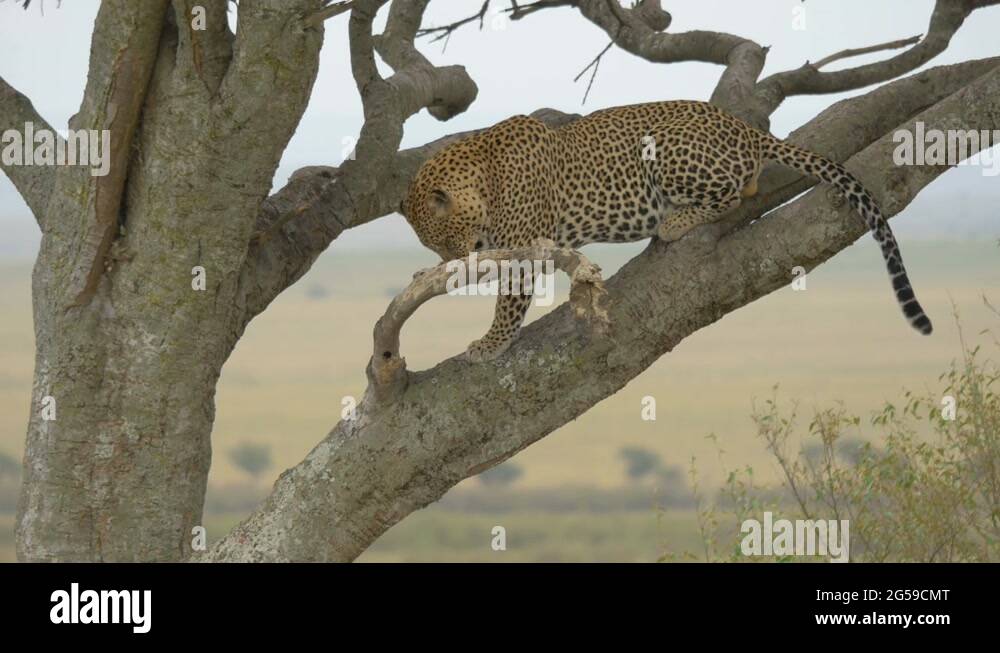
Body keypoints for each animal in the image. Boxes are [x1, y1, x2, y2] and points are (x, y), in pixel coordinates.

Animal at [399, 100, 932, 362]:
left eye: (445, 241)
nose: (452, 265)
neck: (485, 176)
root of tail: (746, 128)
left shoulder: (525, 250)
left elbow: (509, 304)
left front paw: (489, 346)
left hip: (667, 146)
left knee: (734, 194)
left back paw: (674, 221)